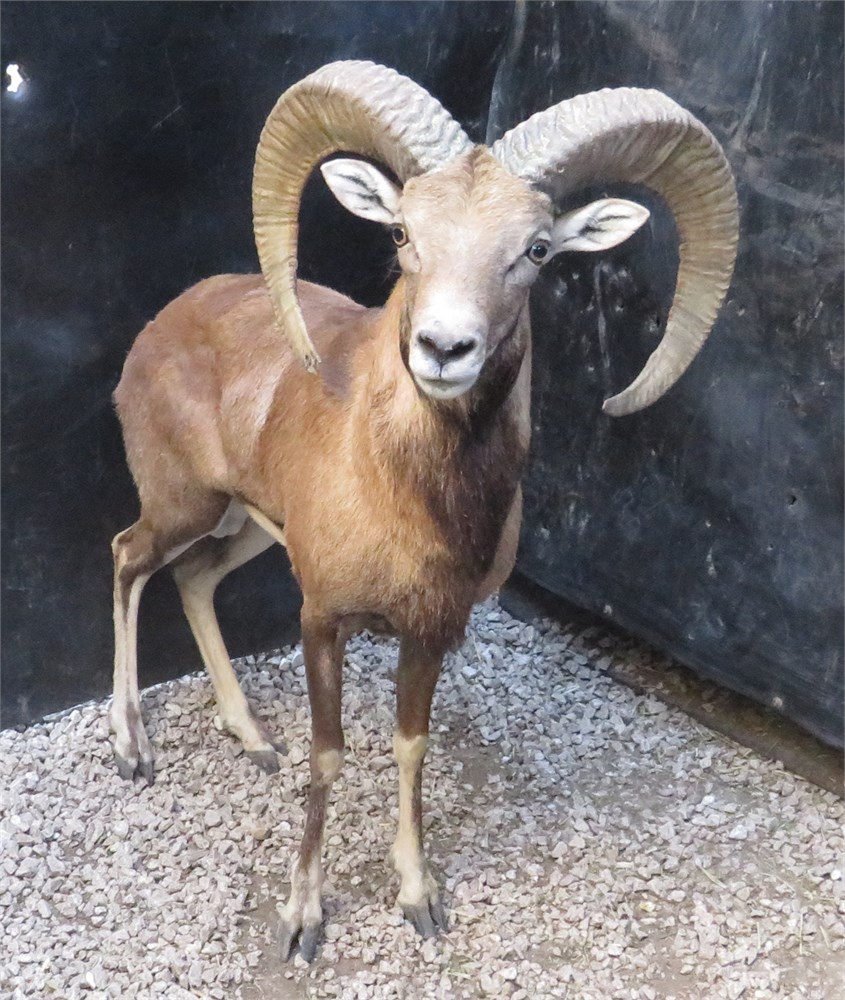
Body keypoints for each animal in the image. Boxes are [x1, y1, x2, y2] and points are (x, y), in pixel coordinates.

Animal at [110, 61, 737, 960]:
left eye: (535, 250)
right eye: (403, 234)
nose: (443, 349)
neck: (415, 506)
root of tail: (161, 326)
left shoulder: (431, 630)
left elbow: (410, 749)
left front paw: (418, 899)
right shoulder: (321, 620)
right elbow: (329, 755)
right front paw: (303, 920)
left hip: (243, 530)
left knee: (194, 580)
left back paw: (252, 739)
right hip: (183, 504)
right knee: (130, 559)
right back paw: (133, 749)